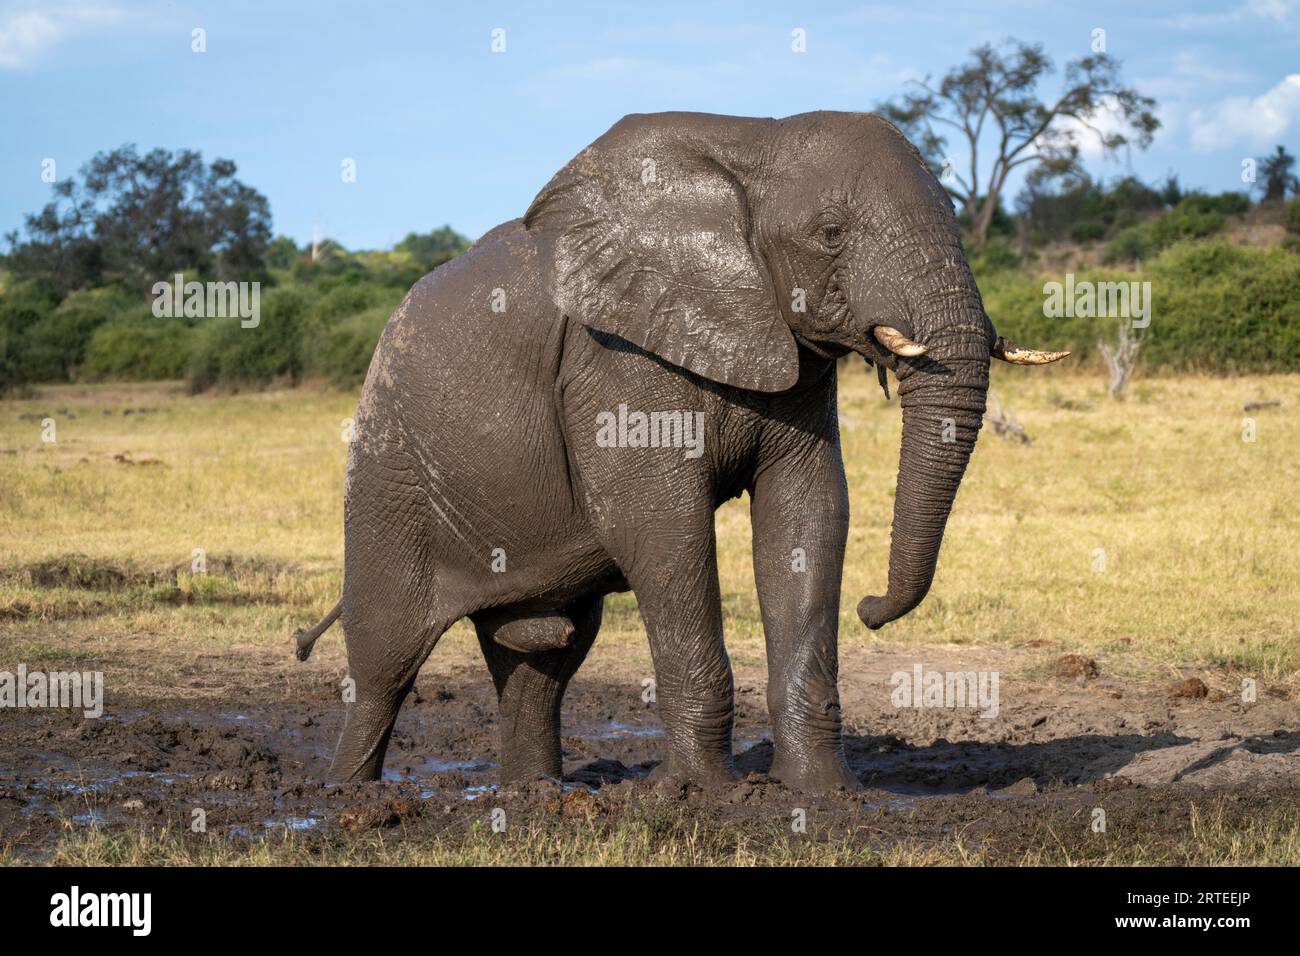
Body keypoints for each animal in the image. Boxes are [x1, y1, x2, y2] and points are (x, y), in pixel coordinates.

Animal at [294, 111, 1066, 792]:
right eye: (831, 234)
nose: (872, 609)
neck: (752, 142)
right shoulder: (617, 357)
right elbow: (661, 525)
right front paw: (705, 795)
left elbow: (808, 515)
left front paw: (824, 794)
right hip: (391, 469)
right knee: (386, 656)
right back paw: (351, 800)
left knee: (542, 656)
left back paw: (533, 796)